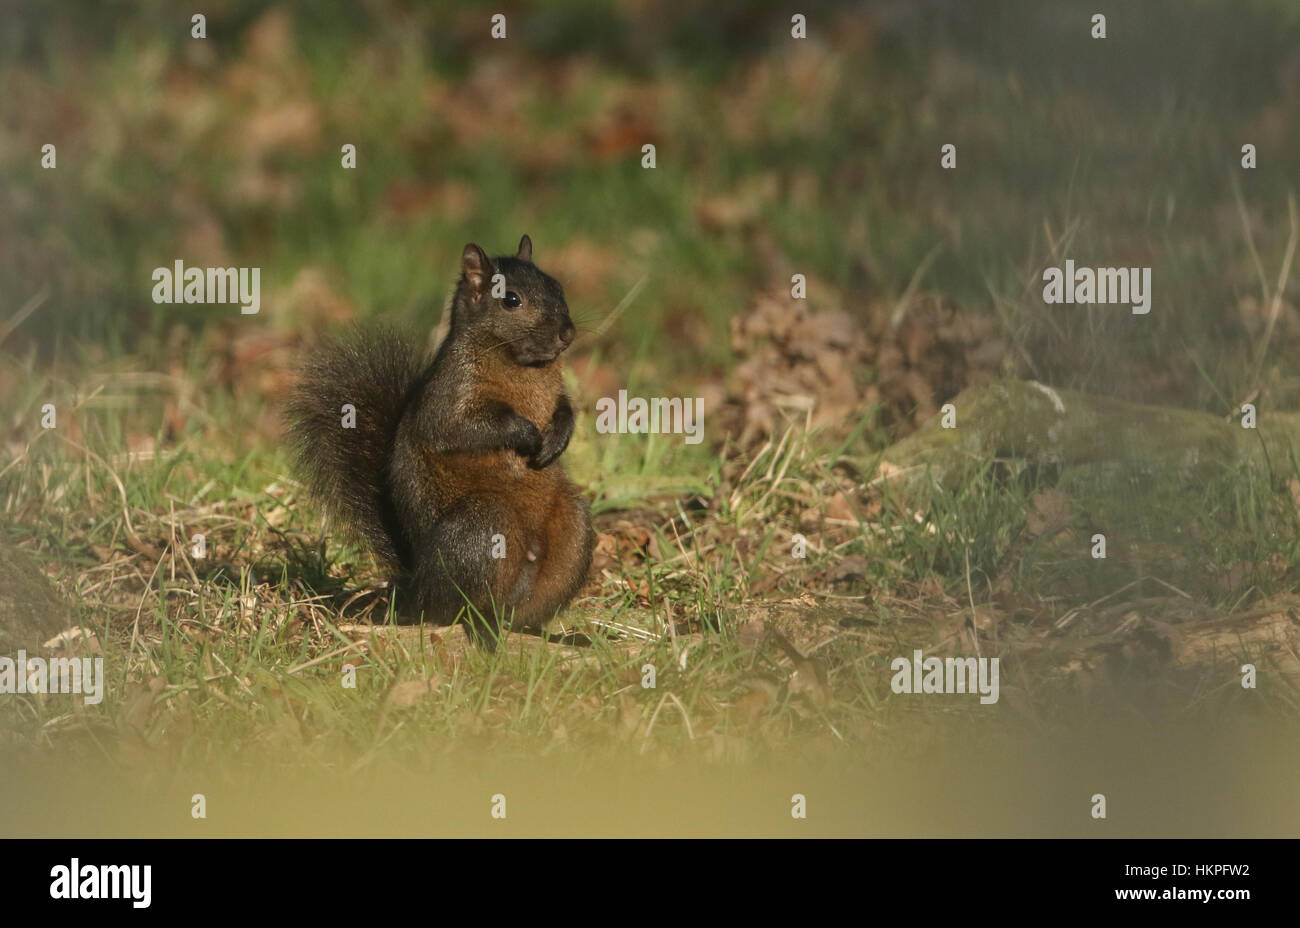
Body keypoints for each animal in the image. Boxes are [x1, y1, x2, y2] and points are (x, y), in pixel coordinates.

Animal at [286, 235, 595, 639]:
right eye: (511, 300)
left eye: (557, 285)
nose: (567, 333)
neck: (522, 364)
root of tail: (416, 584)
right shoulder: (449, 396)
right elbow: (459, 428)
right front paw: (527, 434)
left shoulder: (555, 394)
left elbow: (565, 410)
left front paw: (557, 438)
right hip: (483, 527)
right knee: (450, 610)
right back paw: (481, 627)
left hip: (573, 532)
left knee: (521, 611)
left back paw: (544, 633)